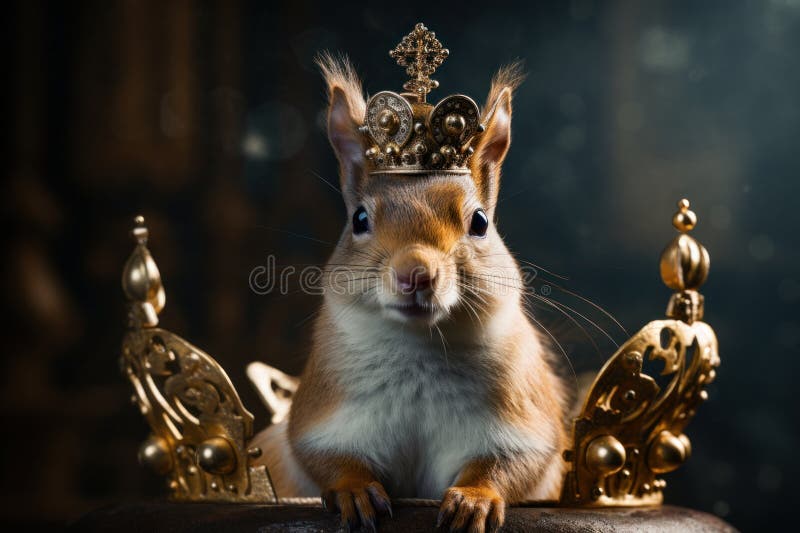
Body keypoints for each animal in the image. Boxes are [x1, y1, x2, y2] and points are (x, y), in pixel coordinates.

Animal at [250, 56, 568, 533]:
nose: (415, 273)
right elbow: (324, 456)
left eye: (480, 222)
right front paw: (354, 490)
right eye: (359, 219)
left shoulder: (526, 419)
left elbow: (511, 464)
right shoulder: (321, 414)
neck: (420, 347)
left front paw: (473, 499)